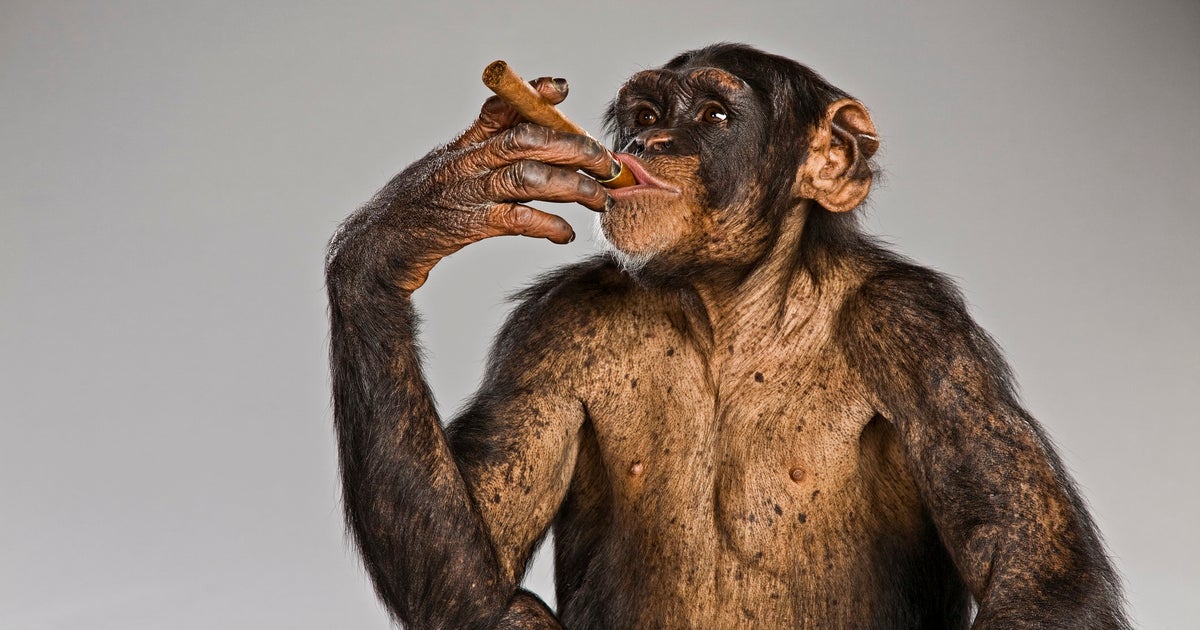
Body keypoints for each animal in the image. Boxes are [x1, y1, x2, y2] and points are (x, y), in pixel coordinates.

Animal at [325, 44, 1130, 629]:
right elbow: (475, 584)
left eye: (714, 115)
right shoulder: (551, 333)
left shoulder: (926, 338)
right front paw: (428, 210)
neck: (731, 308)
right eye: (647, 110)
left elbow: (1039, 575)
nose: (652, 139)